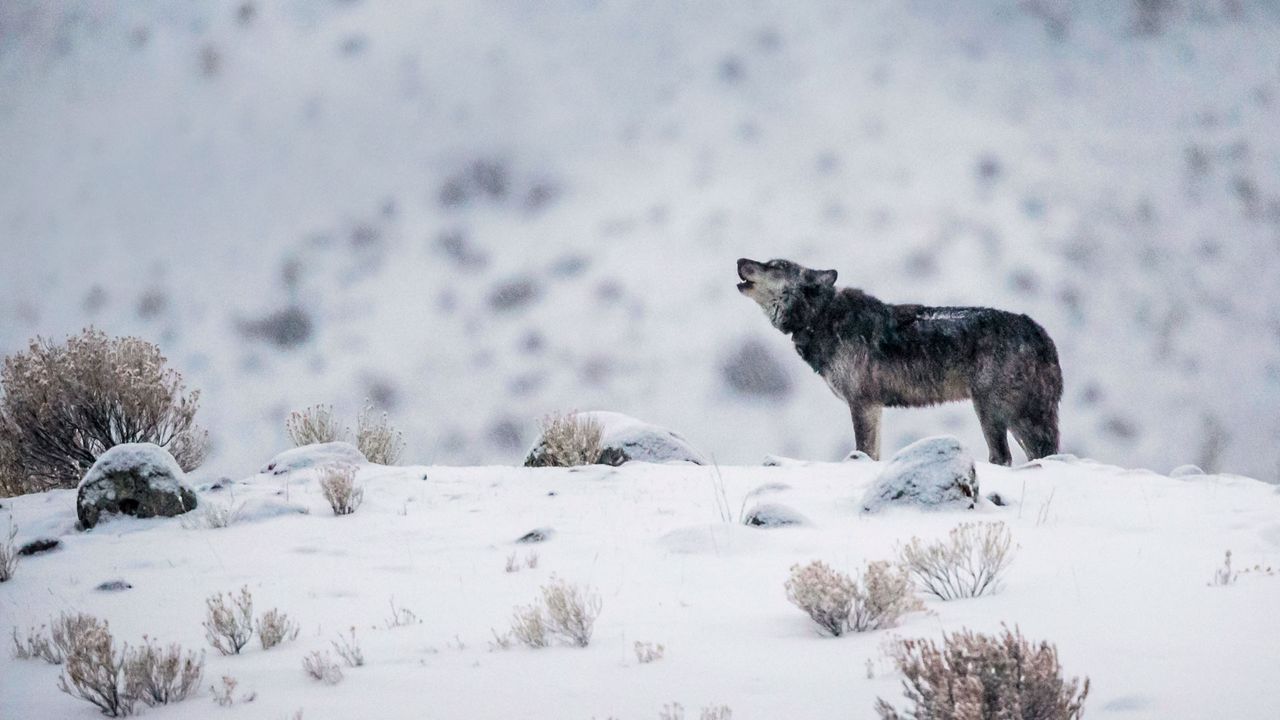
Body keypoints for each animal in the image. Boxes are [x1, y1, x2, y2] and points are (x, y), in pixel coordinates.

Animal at [736, 258, 1062, 465]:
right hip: (1013, 416)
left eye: (776, 266)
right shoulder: (874, 407)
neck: (820, 317)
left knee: (1007, 456)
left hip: (994, 410)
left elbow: (864, 451)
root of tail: (1040, 332)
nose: (740, 259)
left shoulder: (863, 403)